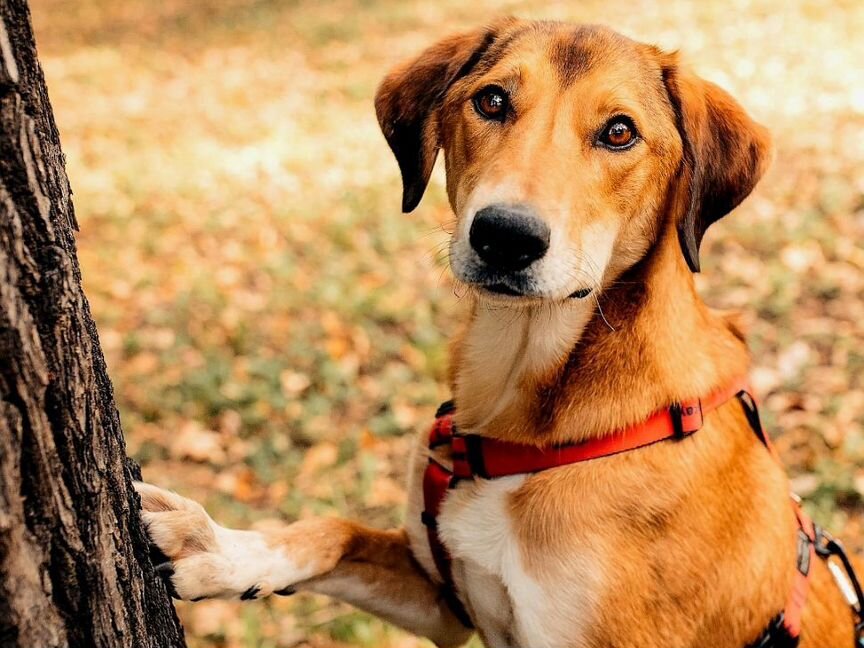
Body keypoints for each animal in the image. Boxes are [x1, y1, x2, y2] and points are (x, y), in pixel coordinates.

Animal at [138, 17, 860, 644]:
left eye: (620, 132)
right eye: (492, 100)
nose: (505, 236)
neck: (526, 410)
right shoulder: (444, 599)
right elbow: (335, 530)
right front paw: (225, 550)